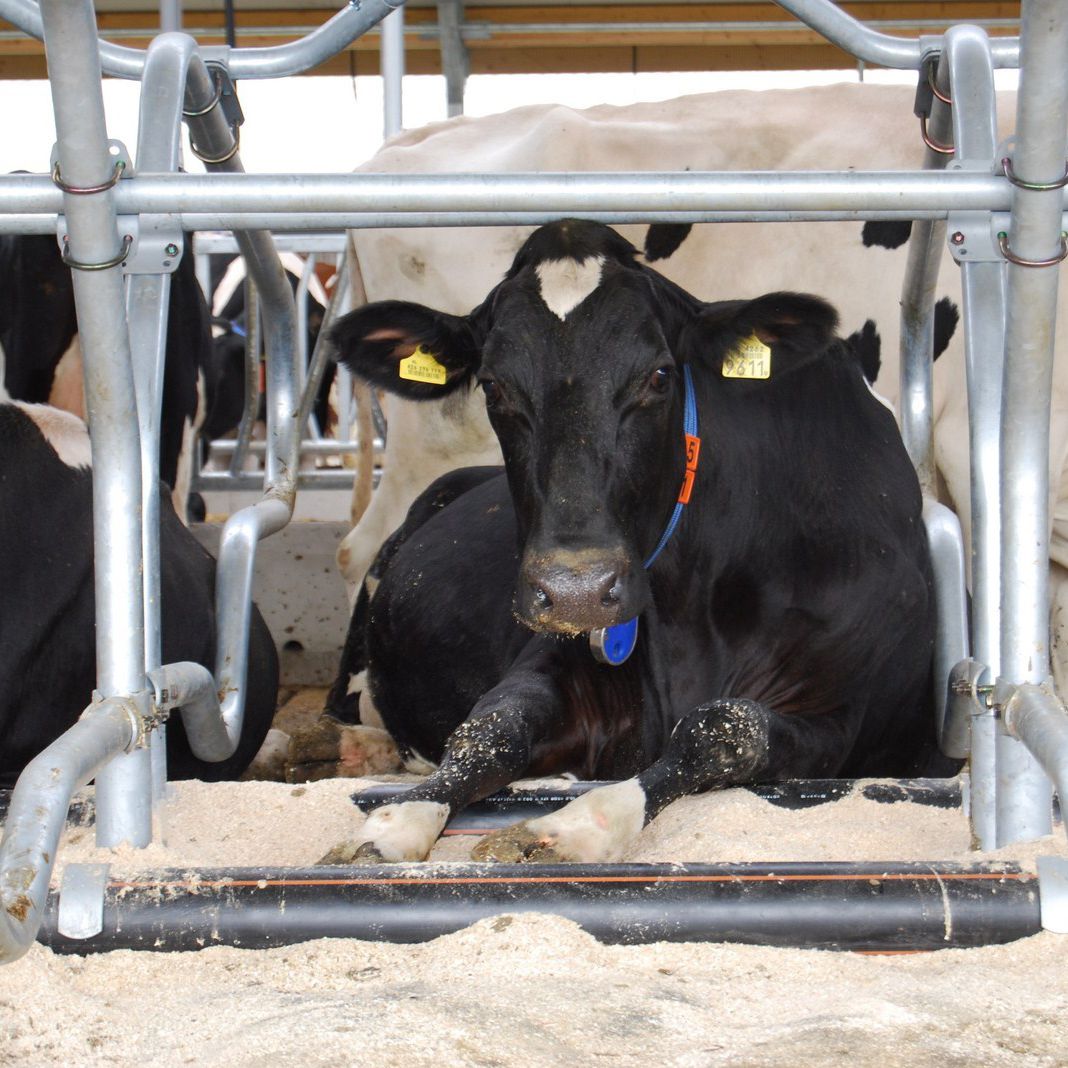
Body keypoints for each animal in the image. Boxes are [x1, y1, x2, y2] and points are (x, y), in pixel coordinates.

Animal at [314, 218, 951, 864]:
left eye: (659, 376)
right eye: (492, 385)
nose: (575, 591)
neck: (690, 614)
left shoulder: (840, 714)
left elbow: (721, 729)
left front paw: (580, 823)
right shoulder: (553, 658)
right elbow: (494, 726)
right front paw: (399, 821)